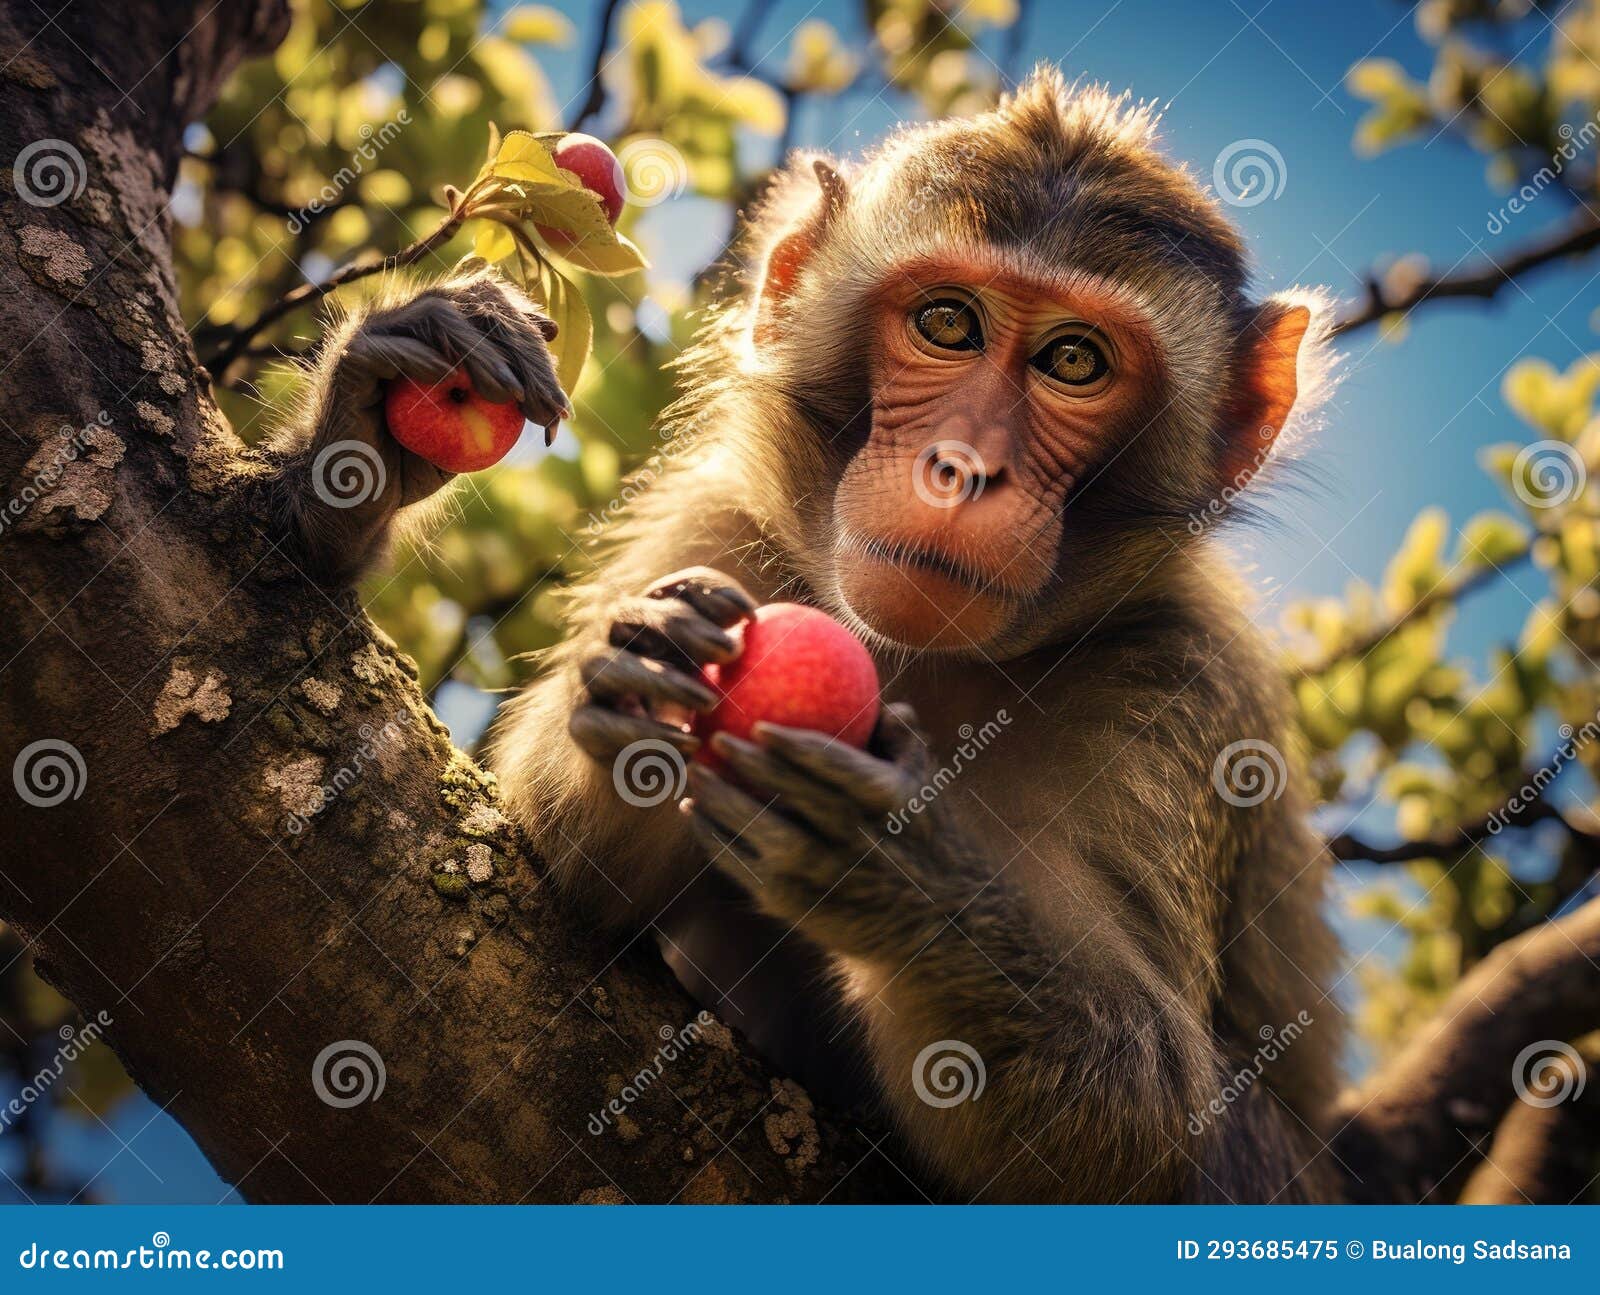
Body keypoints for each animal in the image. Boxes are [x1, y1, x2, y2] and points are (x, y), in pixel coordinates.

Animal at [269, 67, 1344, 1204]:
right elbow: (565, 878)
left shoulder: (1180, 695)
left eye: (1073, 359)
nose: (963, 466)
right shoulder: (726, 534)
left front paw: (901, 873)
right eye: (949, 322)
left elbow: (1148, 1129)